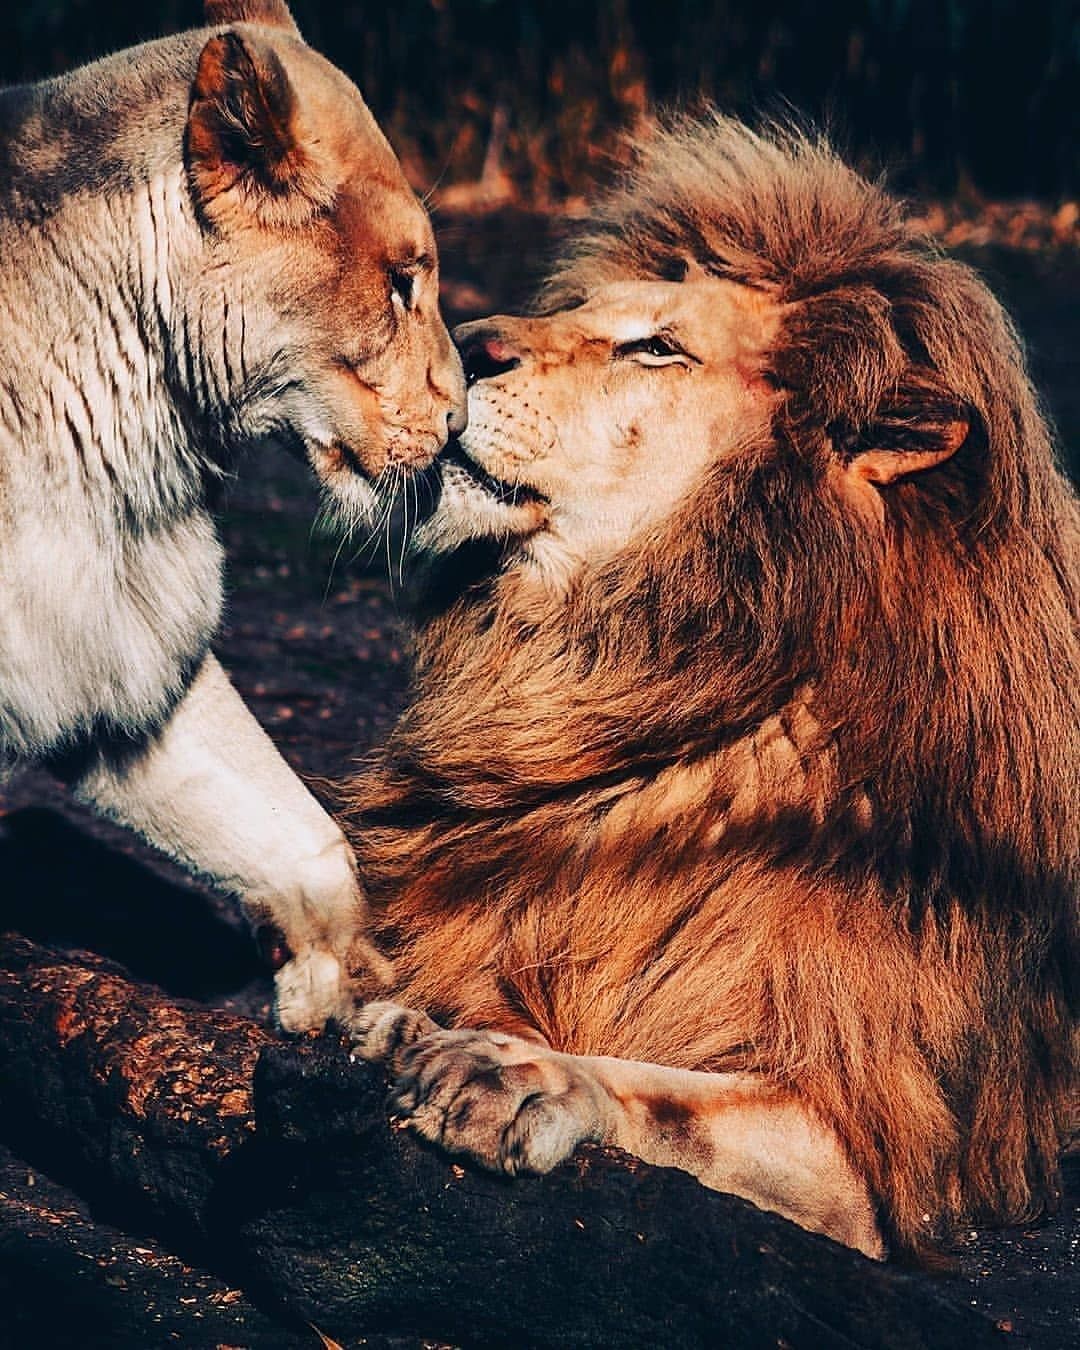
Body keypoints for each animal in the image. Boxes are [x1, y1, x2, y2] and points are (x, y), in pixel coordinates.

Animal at [343, 115, 1080, 1258]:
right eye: (579, 311)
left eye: (657, 346)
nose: (463, 340)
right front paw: (407, 1019)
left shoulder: (869, 1147)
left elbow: (667, 1093)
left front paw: (511, 1073)